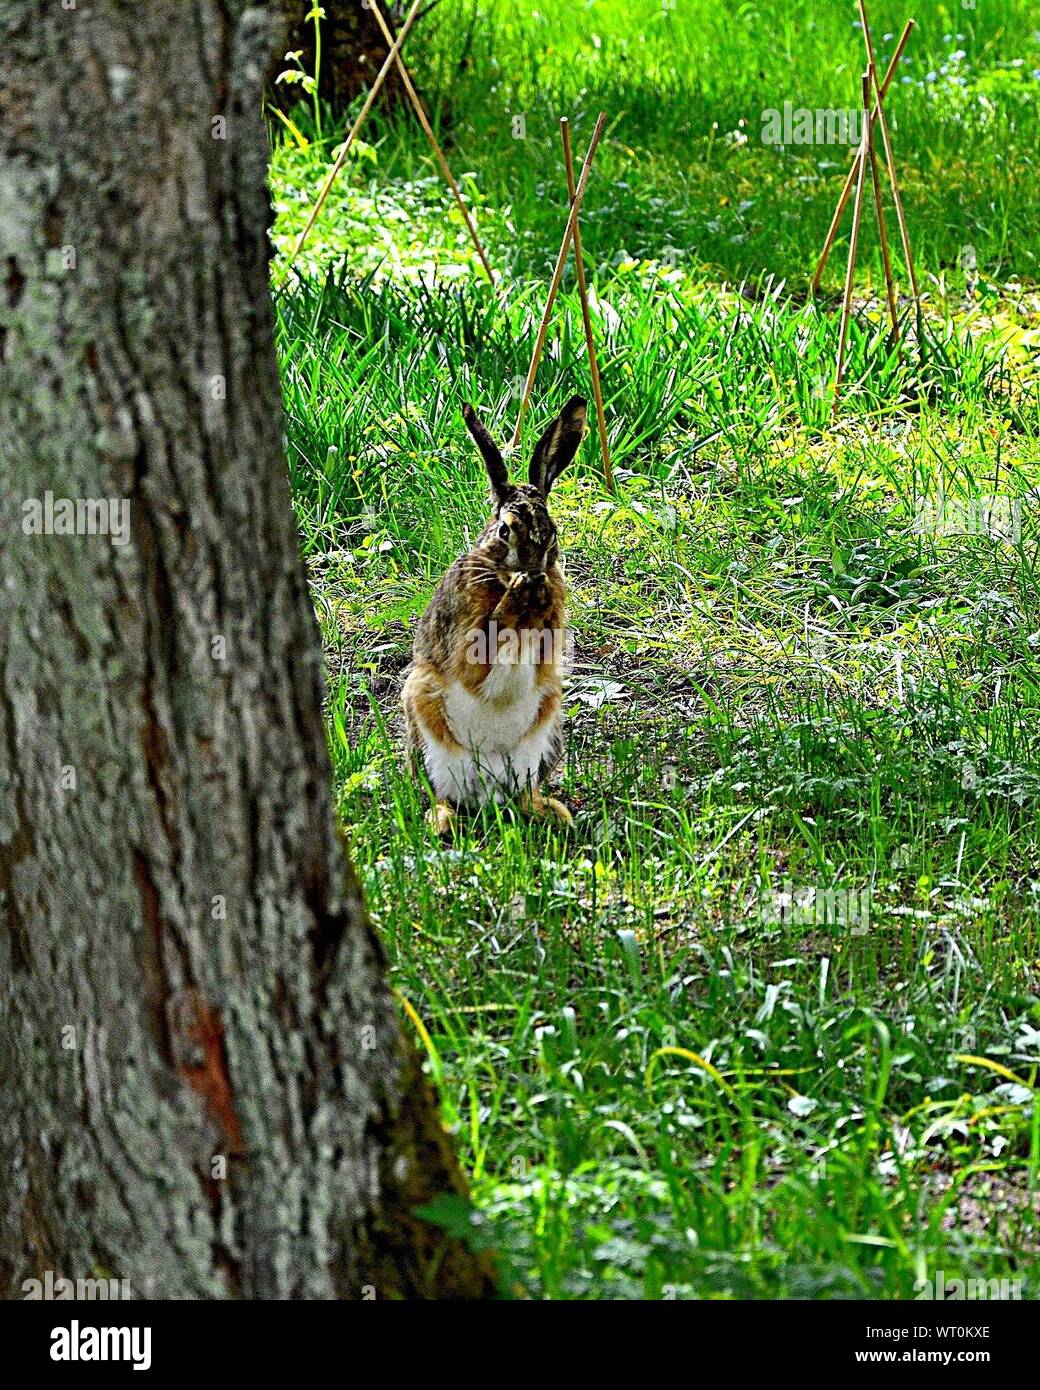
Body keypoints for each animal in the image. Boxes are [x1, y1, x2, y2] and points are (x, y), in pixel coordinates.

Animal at [402, 395, 587, 834]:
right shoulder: (465, 636)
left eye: (552, 532)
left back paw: (552, 812)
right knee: (439, 794)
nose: (535, 571)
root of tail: (486, 795)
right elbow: (481, 661)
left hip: (546, 727)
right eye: (505, 532)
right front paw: (518, 599)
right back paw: (442, 821)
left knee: (525, 794)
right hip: (421, 714)